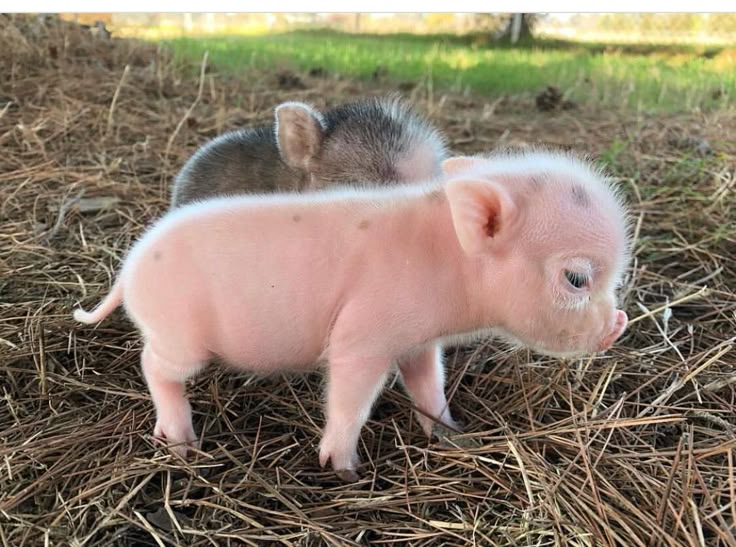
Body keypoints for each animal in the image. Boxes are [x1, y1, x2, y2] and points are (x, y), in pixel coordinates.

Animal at [74, 149, 631, 481]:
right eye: (577, 278)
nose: (618, 324)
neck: (445, 260)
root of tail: (130, 265)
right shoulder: (363, 337)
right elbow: (350, 401)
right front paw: (344, 470)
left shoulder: (417, 341)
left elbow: (429, 384)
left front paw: (451, 431)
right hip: (180, 337)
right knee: (153, 366)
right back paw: (182, 444)